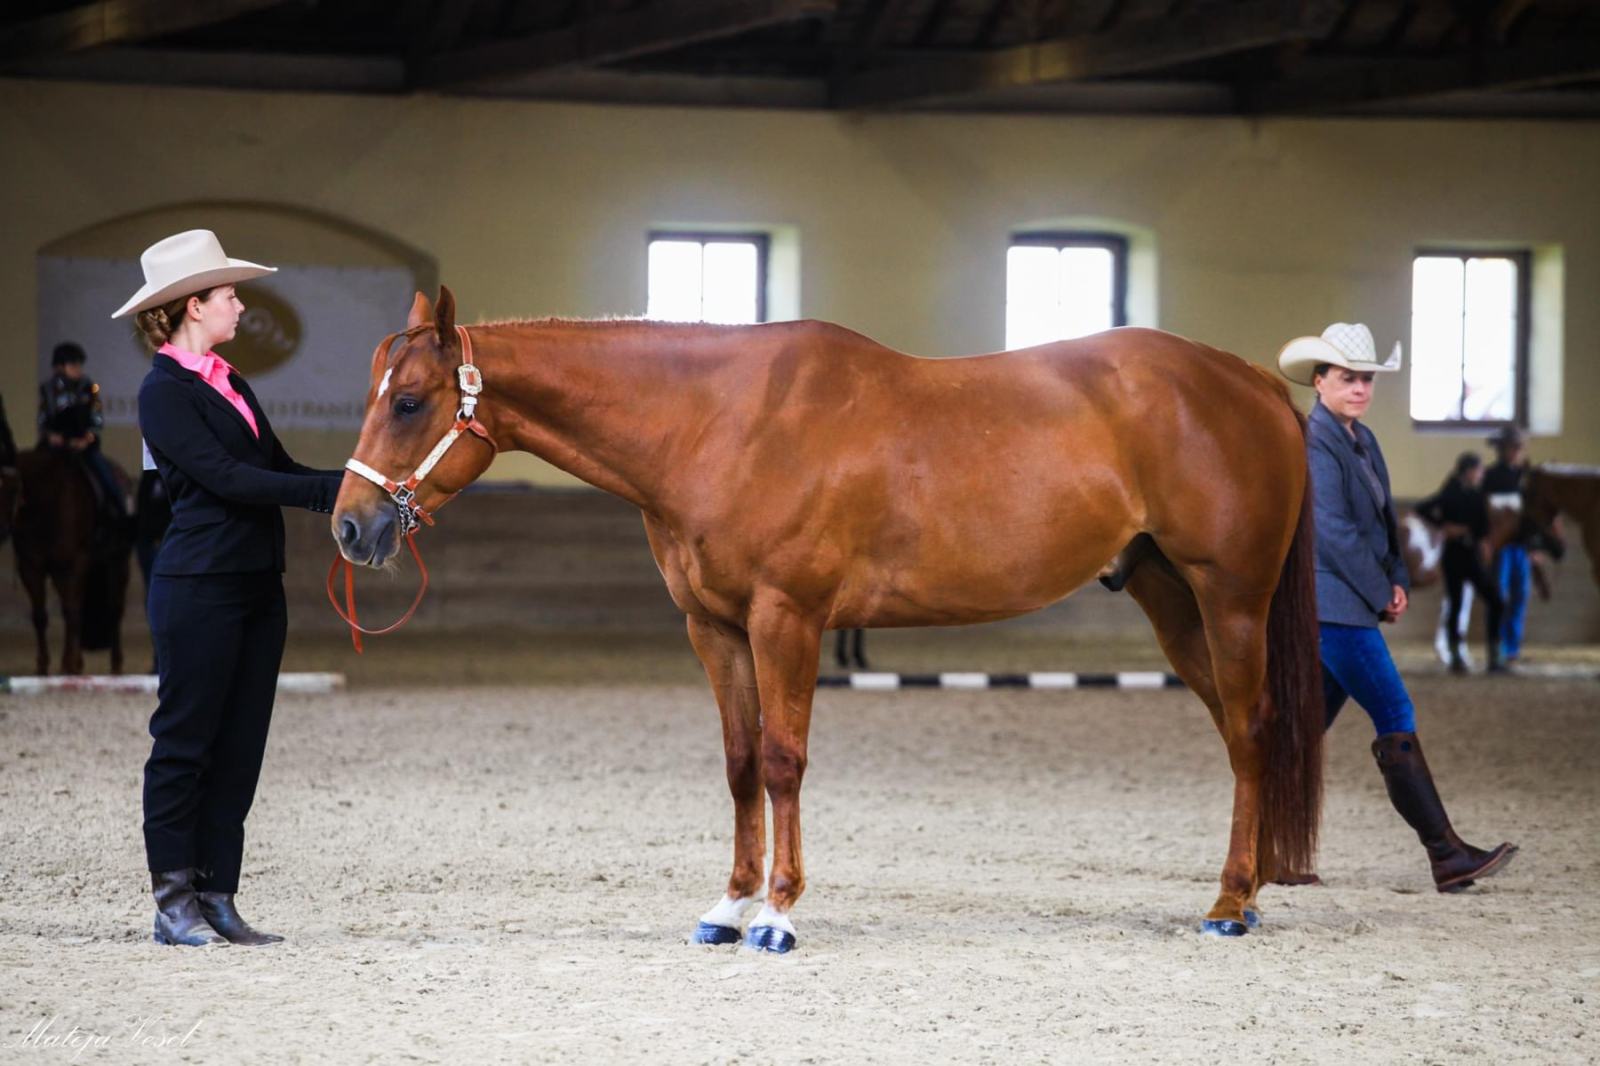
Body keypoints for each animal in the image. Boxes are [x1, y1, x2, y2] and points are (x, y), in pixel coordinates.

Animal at [9, 447, 132, 675]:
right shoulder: (31, 567)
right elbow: (41, 616)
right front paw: (44, 665)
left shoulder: (74, 564)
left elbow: (70, 611)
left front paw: (69, 663)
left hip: (118, 563)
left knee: (114, 611)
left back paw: (116, 664)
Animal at [332, 287, 1324, 950]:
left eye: (410, 401)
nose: (351, 525)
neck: (721, 424)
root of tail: (1251, 383)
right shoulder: (714, 629)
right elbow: (739, 763)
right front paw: (728, 908)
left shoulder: (788, 619)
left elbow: (782, 760)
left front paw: (777, 912)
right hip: (1171, 601)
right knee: (1239, 735)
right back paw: (1248, 894)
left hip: (1229, 600)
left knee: (1249, 733)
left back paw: (1230, 907)